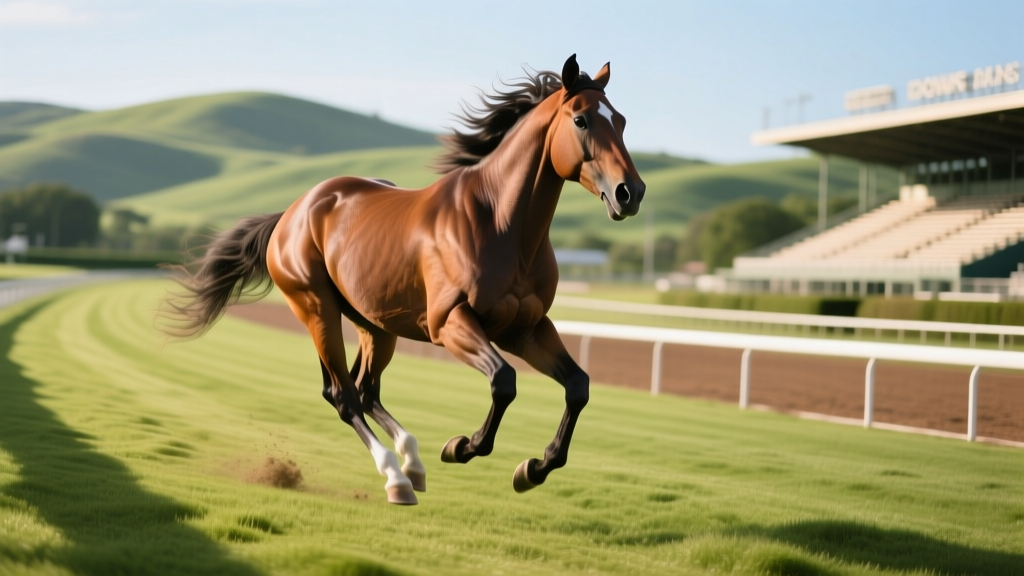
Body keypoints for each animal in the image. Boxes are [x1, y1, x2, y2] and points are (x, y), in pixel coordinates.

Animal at [163, 54, 645, 505]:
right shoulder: (451, 323)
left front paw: (534, 469)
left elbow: (578, 386)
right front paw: (461, 446)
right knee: (343, 395)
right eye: (581, 119)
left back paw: (412, 464)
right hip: (318, 311)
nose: (630, 193)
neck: (502, 225)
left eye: (620, 120)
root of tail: (293, 212)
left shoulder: (525, 328)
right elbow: (503, 382)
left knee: (365, 390)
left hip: (377, 325)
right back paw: (397, 478)